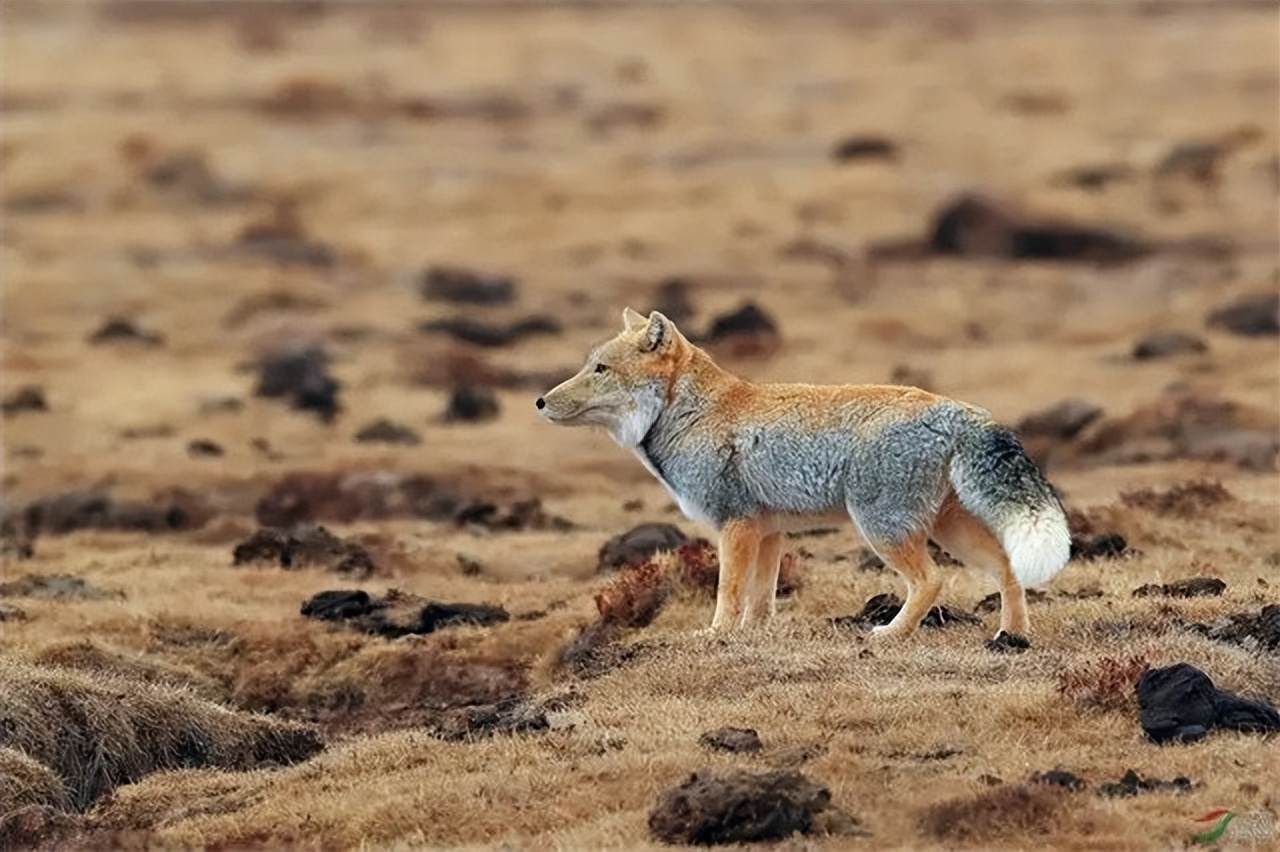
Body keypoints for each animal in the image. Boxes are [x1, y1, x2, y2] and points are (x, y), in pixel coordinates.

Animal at [535, 307, 1071, 640]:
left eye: (601, 369)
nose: (540, 401)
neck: (689, 413)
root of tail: (956, 409)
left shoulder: (735, 524)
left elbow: (728, 592)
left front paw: (715, 635)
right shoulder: (768, 531)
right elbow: (760, 599)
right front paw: (752, 637)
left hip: (883, 530)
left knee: (932, 581)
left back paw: (892, 633)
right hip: (949, 530)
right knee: (1008, 569)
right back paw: (1011, 634)